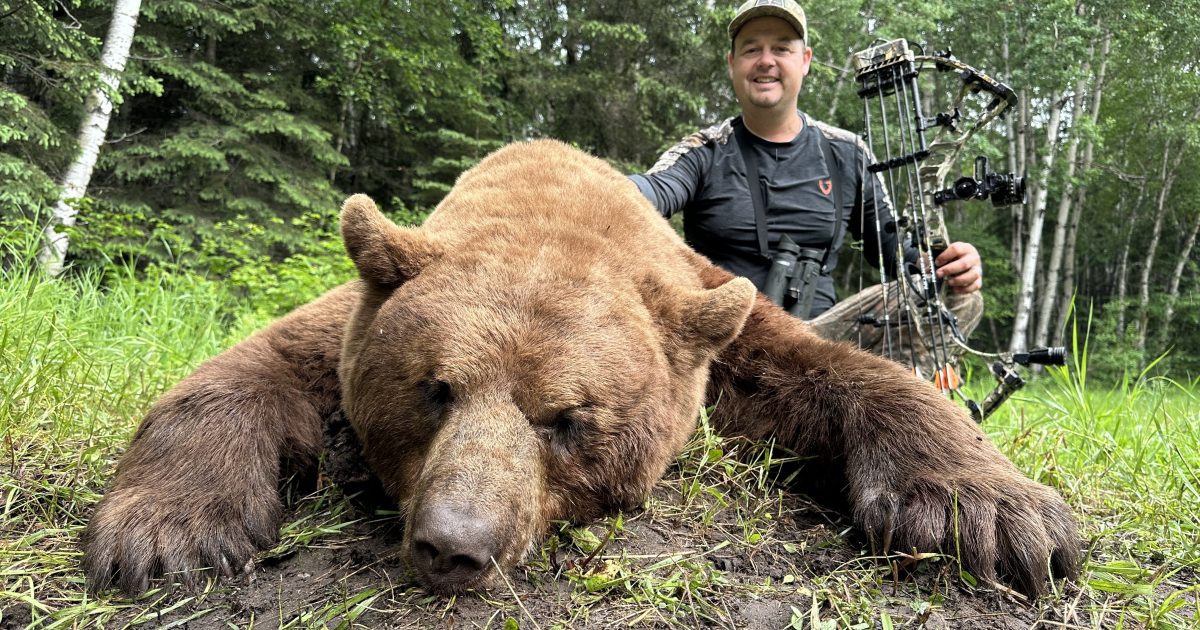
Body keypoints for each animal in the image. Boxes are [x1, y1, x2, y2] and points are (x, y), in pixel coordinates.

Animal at [82, 140, 1078, 598]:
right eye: (433, 390)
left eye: (569, 419)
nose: (456, 546)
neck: (551, 203)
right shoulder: (357, 310)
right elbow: (250, 367)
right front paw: (168, 532)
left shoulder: (706, 318)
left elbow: (836, 375)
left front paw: (990, 513)